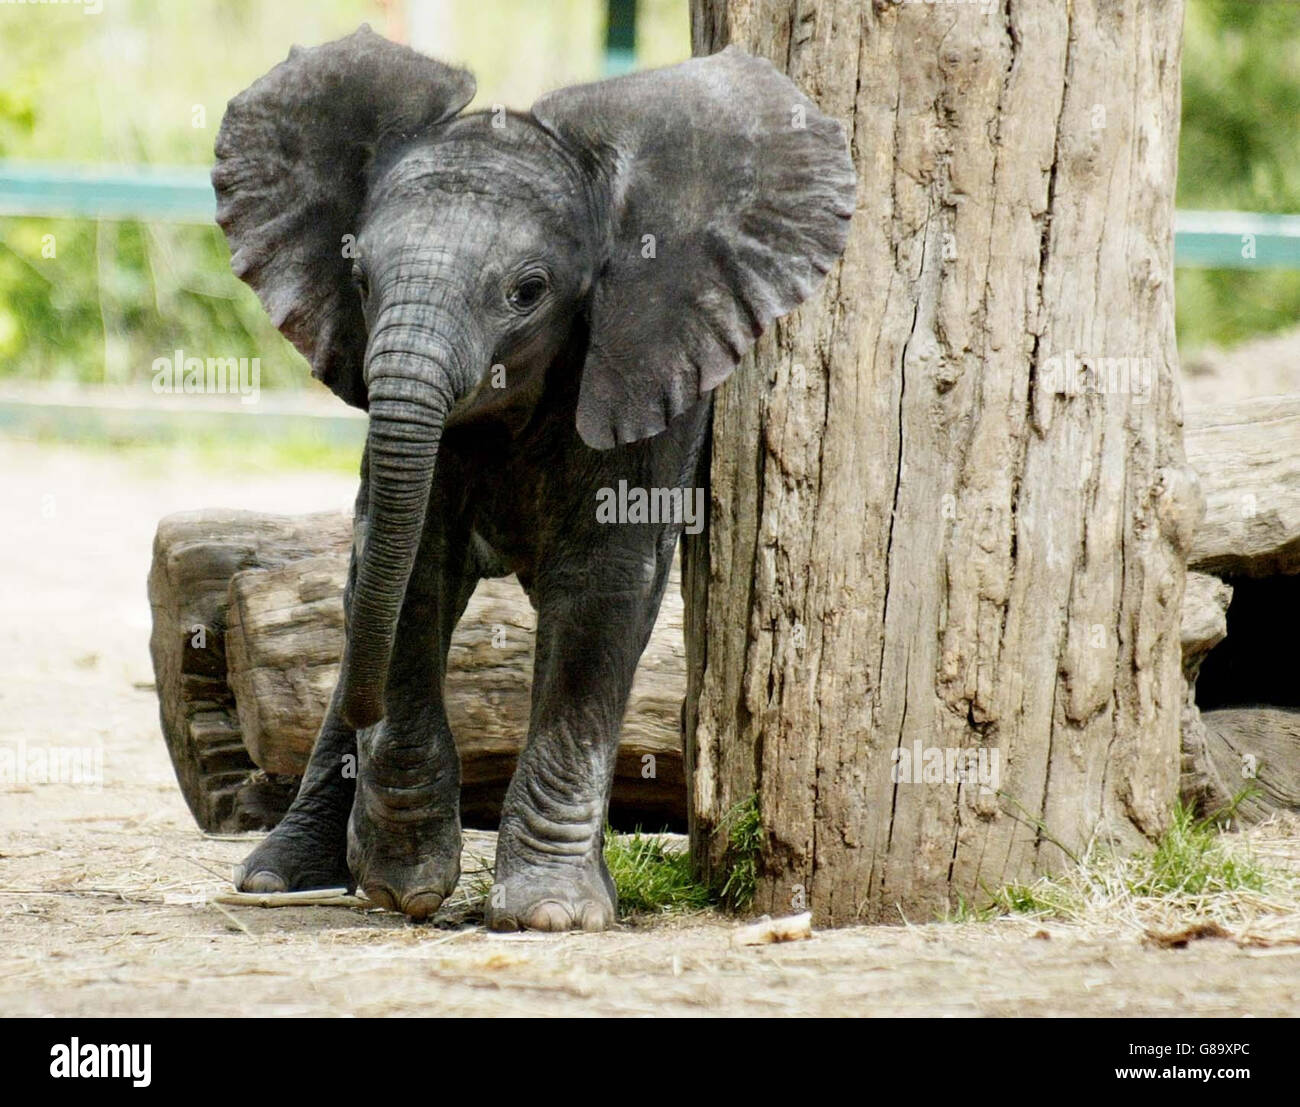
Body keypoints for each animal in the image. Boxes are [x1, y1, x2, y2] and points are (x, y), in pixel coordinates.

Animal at [212, 26, 854, 931]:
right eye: (360, 281)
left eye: (528, 291)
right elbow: (409, 564)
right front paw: (403, 885)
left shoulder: (650, 361)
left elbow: (602, 586)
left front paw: (551, 912)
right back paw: (276, 875)